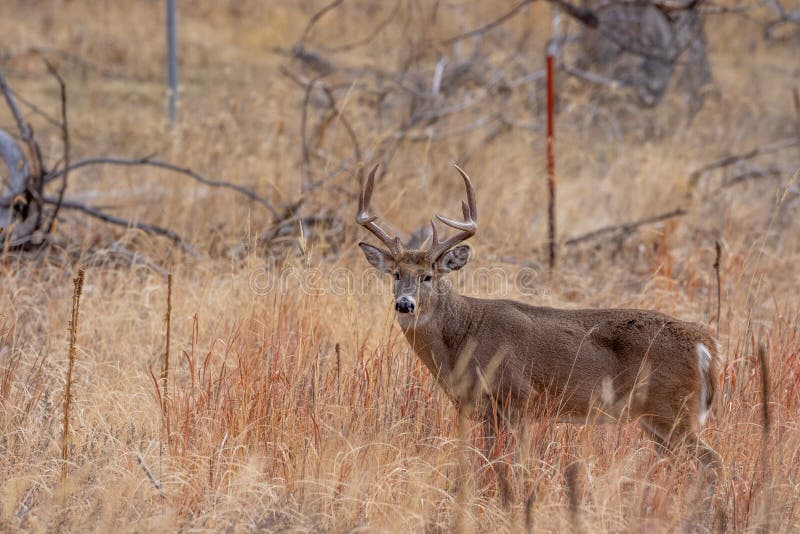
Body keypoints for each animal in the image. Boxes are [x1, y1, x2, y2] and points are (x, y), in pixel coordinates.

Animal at [356, 164, 721, 501]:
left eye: (428, 276)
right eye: (396, 274)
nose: (405, 304)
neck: (462, 342)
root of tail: (704, 346)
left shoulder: (518, 398)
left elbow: (506, 465)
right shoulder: (483, 411)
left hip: (672, 409)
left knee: (712, 461)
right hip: (653, 418)